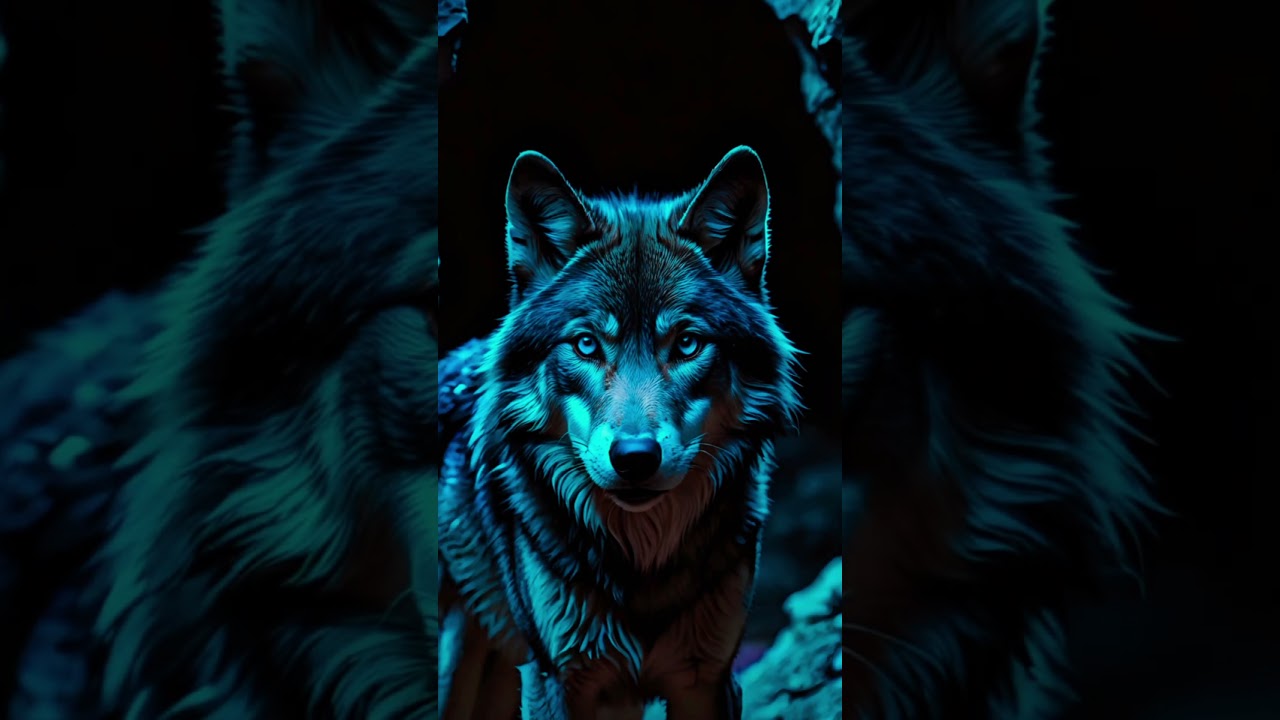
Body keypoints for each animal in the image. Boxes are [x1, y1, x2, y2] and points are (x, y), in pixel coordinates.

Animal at [437, 146, 803, 719]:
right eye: (587, 344)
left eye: (687, 343)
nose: (634, 457)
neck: (642, 564)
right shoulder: (556, 678)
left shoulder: (708, 682)